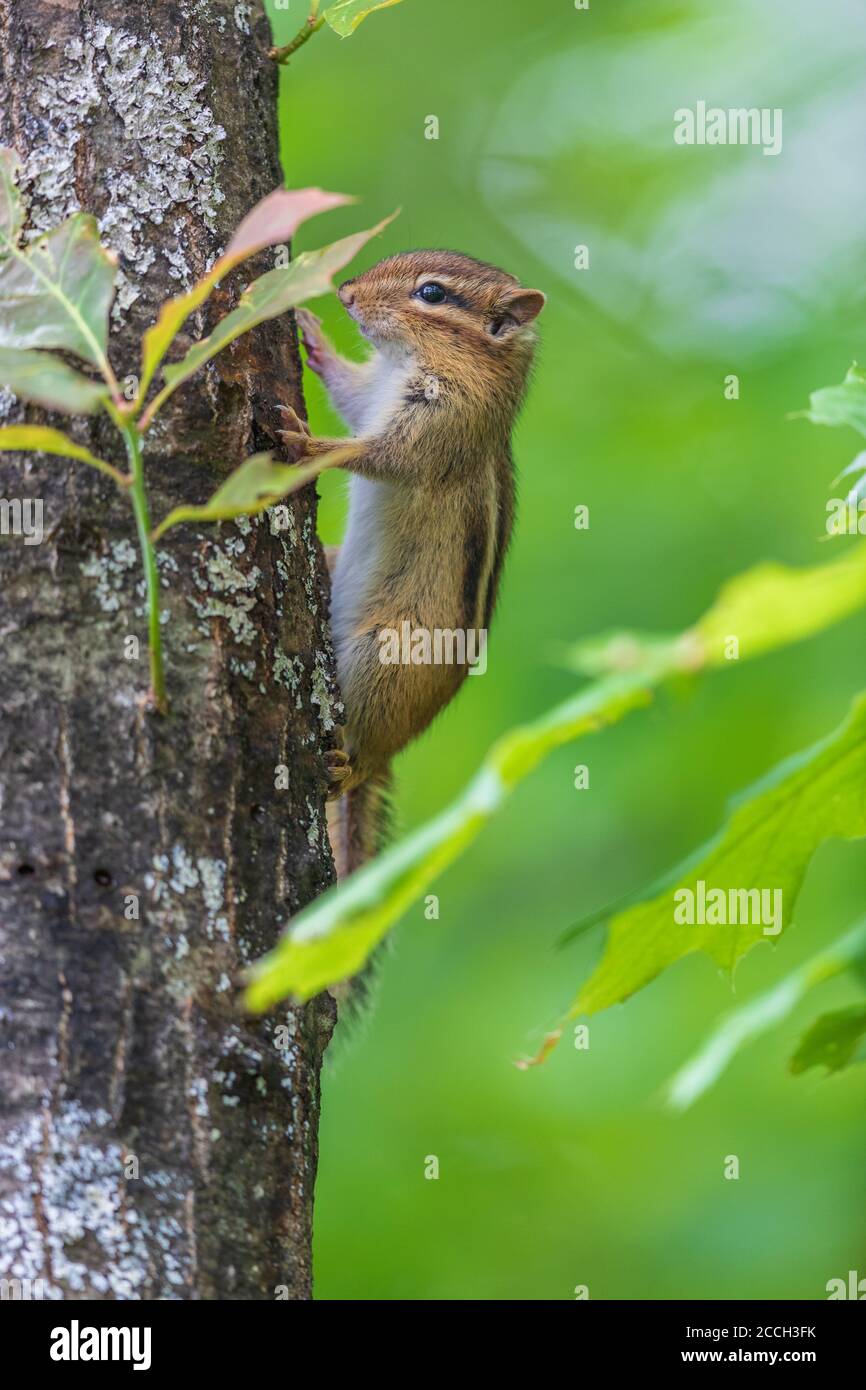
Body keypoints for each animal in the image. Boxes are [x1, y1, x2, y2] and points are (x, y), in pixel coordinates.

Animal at [278, 251, 545, 879]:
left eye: (431, 293)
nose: (346, 292)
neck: (407, 361)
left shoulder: (445, 418)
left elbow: (378, 454)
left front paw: (307, 444)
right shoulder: (372, 393)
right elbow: (351, 397)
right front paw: (313, 336)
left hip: (388, 655)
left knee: (367, 754)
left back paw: (346, 767)